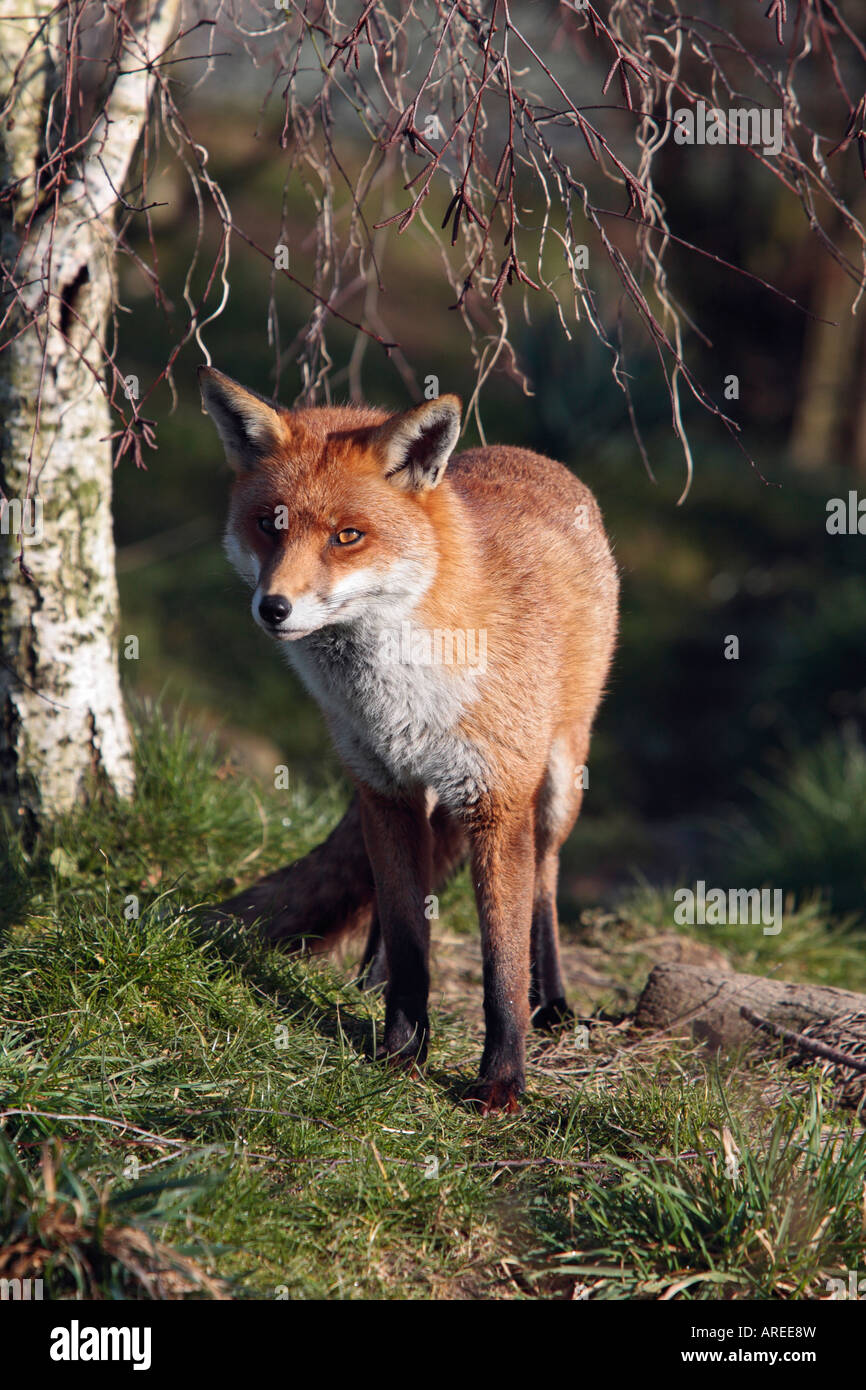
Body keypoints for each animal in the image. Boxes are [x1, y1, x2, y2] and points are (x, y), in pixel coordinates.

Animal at [199, 365, 619, 1112]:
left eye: (348, 536)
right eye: (269, 524)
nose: (273, 608)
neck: (399, 696)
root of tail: (530, 455)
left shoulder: (497, 801)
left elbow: (502, 966)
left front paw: (502, 1082)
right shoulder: (383, 787)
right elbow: (406, 930)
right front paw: (399, 1053)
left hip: (559, 781)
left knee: (546, 882)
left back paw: (554, 1003)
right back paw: (369, 976)